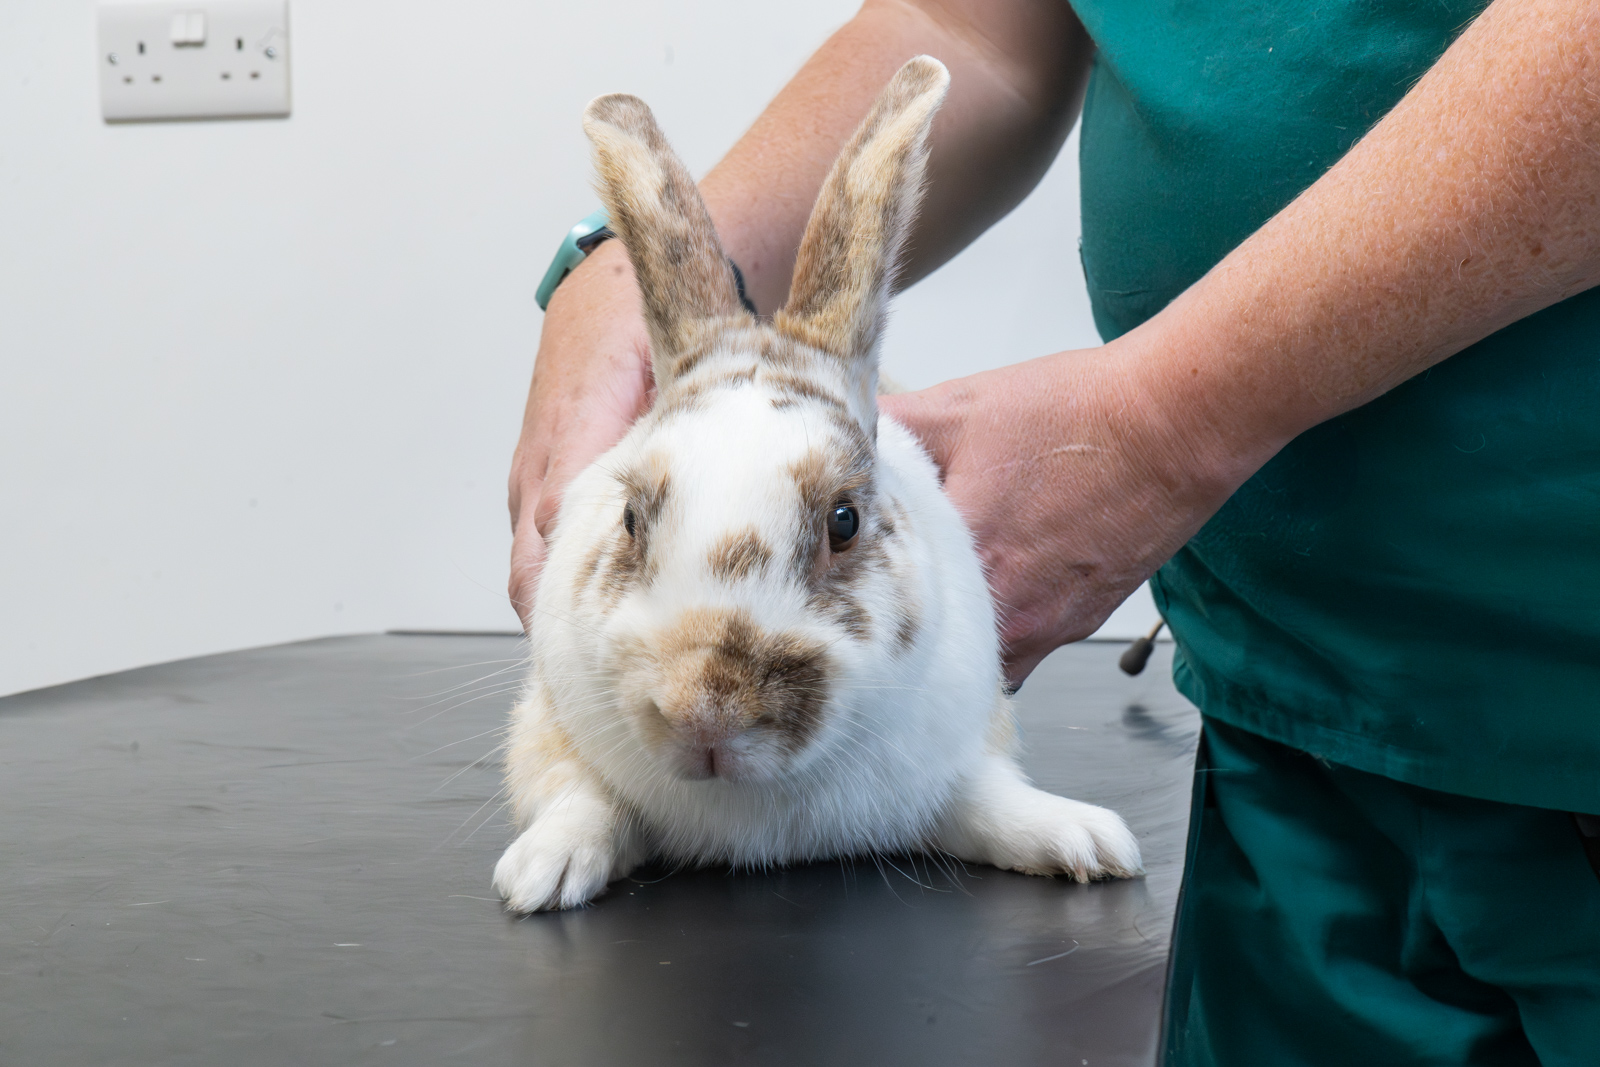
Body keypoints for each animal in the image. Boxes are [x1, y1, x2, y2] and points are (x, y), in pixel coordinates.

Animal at [493, 56, 1142, 912]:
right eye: (631, 518)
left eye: (844, 521)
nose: (707, 715)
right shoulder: (550, 722)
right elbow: (581, 796)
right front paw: (542, 869)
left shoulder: (960, 753)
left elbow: (991, 799)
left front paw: (1085, 840)